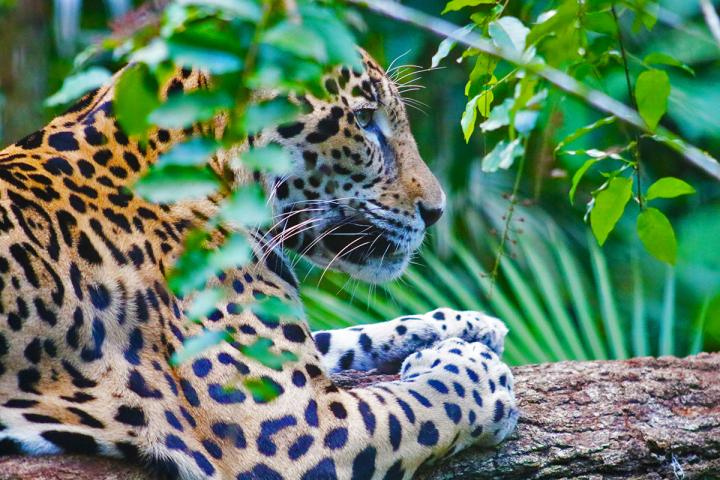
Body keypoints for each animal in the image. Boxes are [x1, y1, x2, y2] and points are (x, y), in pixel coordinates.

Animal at [0, 49, 518, 479]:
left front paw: (465, 324)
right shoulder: (296, 428)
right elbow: (427, 401)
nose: (437, 211)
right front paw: (476, 369)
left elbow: (347, 337)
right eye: (364, 119)